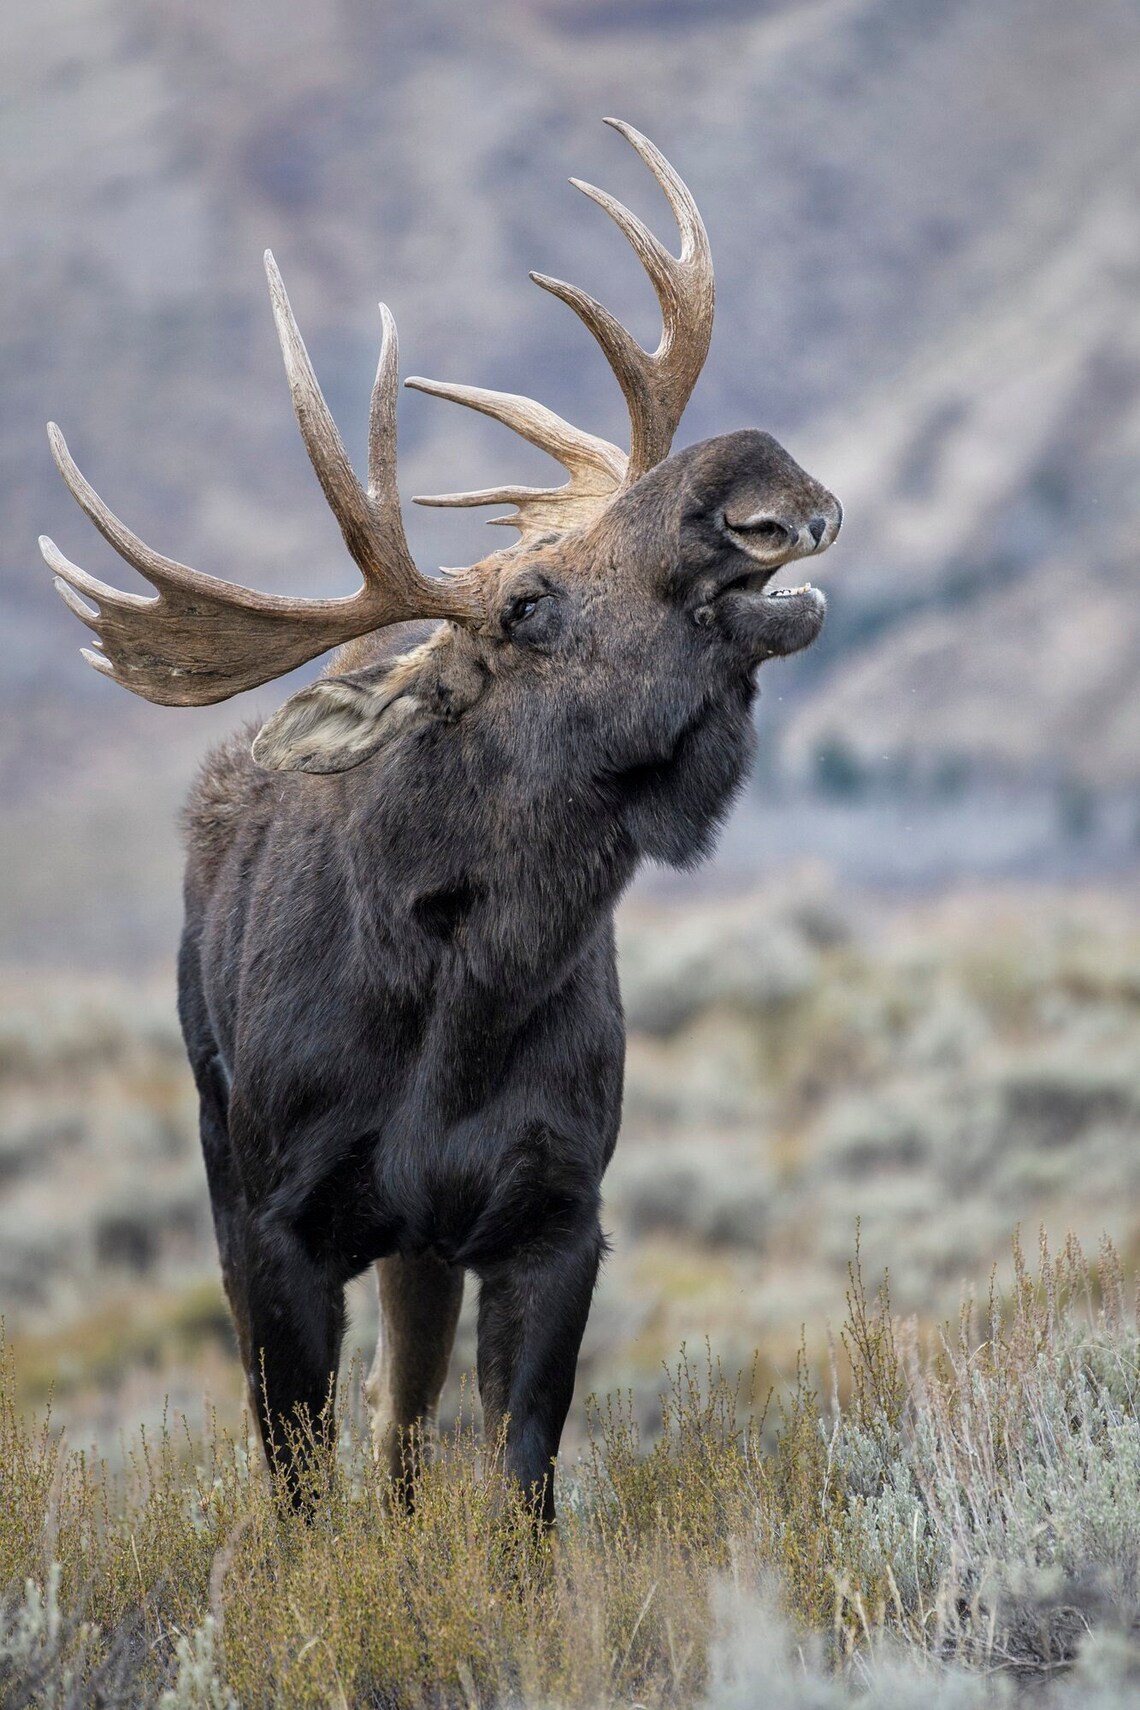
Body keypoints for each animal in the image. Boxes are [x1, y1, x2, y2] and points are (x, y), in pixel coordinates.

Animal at [40, 121, 841, 1522]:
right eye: (527, 602)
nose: (757, 473)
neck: (459, 1010)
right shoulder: (279, 1221)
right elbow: (299, 1492)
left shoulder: (554, 1212)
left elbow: (519, 1483)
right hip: (229, 1149)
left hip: (419, 1246)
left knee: (403, 1425)